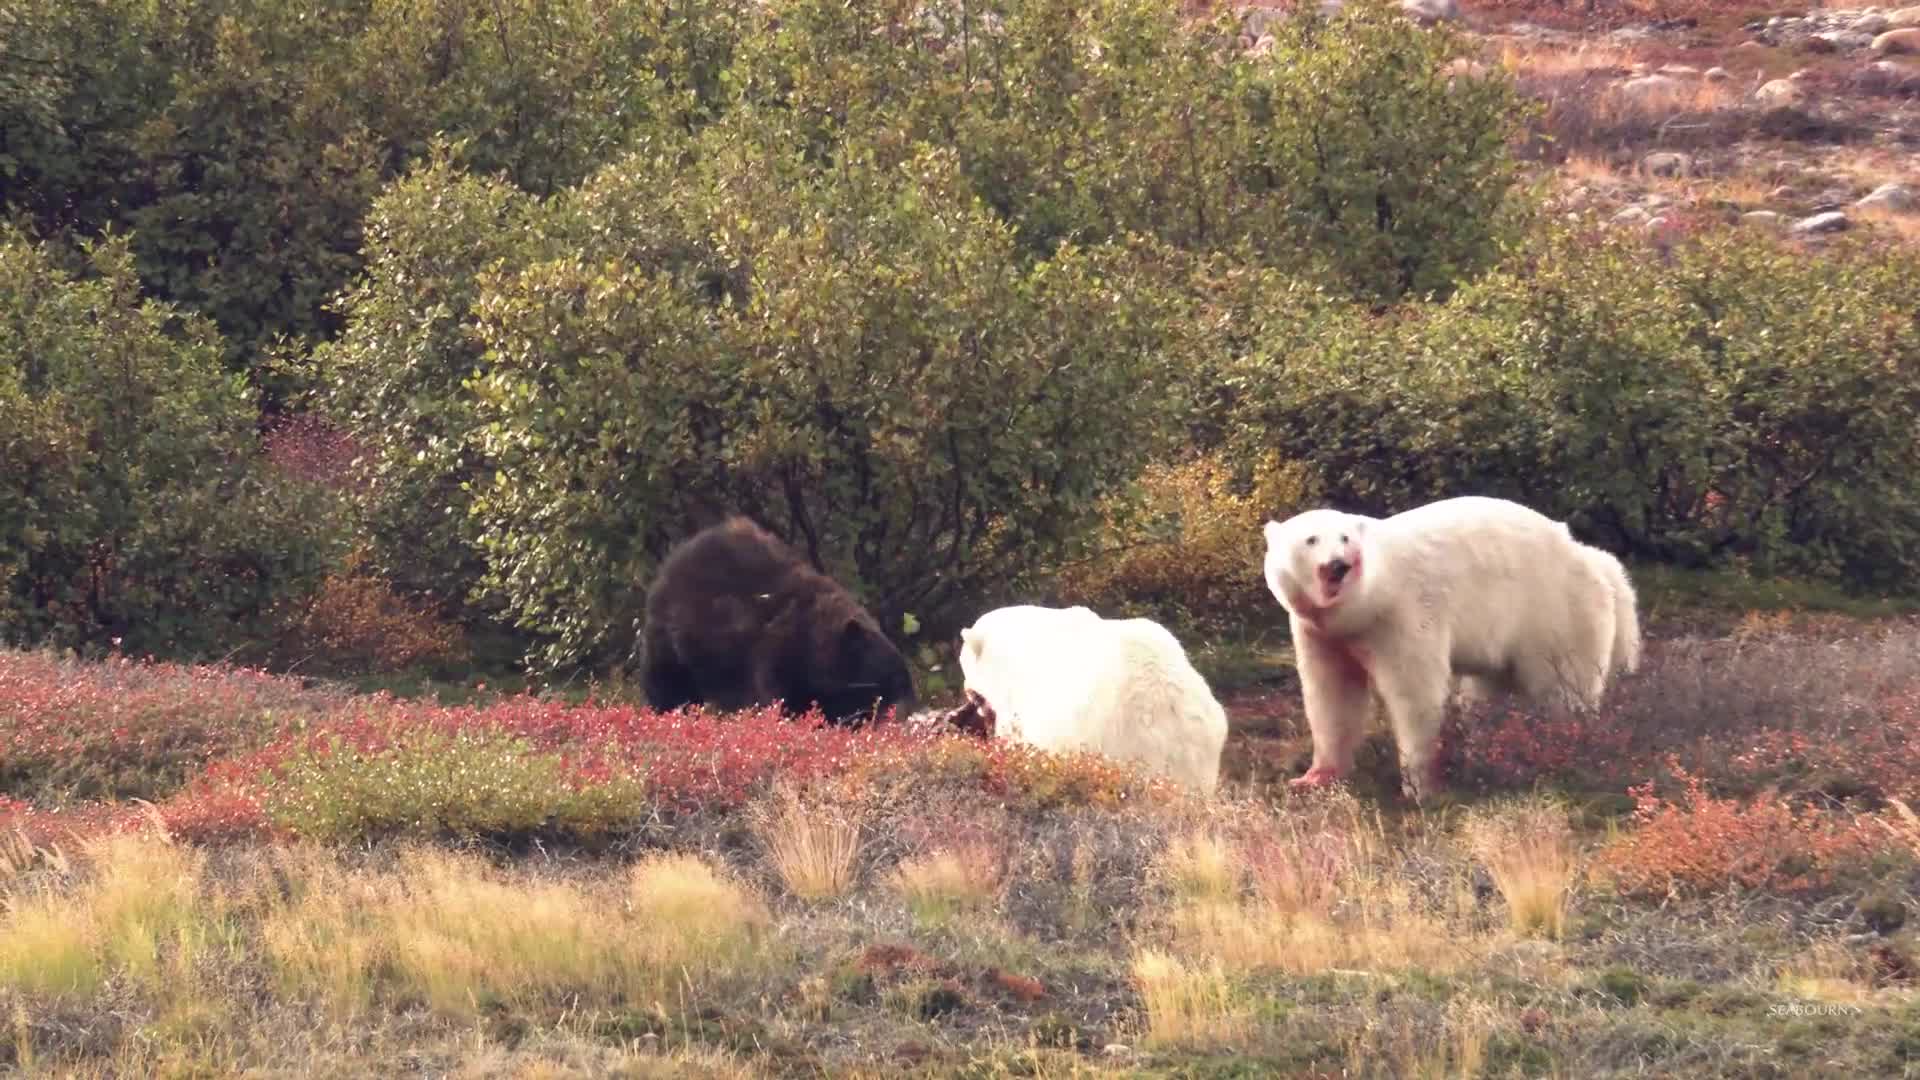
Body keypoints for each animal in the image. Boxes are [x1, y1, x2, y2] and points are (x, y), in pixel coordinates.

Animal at [638, 516, 918, 726]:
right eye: (885, 687)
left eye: (902, 684)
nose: (904, 716)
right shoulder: (778, 652)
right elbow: (781, 697)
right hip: (674, 639)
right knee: (669, 683)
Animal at [1261, 495, 1641, 803]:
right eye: (1311, 539)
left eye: (1345, 538)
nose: (1341, 564)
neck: (1366, 603)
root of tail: (1592, 558)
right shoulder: (1321, 633)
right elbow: (1331, 695)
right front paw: (1313, 777)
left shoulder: (1403, 615)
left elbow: (1415, 693)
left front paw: (1419, 786)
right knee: (1489, 695)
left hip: (1555, 611)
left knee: (1564, 688)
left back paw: (1566, 747)